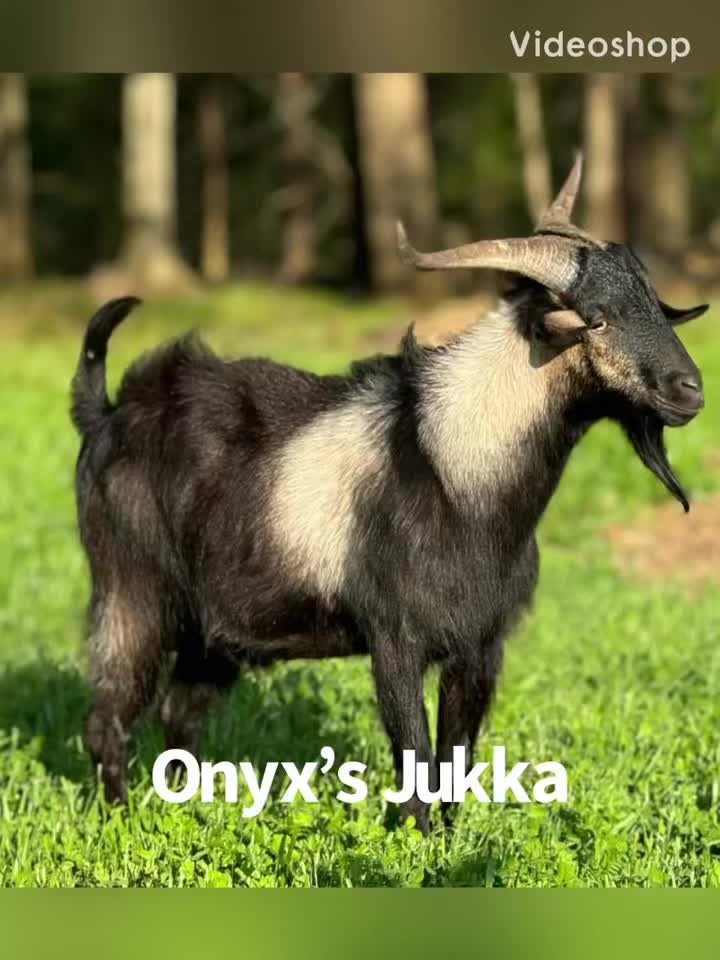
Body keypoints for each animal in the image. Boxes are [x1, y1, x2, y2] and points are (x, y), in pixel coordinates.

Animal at [71, 155, 706, 832]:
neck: (457, 466)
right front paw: (417, 841)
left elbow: (456, 760)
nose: (690, 389)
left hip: (212, 628)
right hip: (132, 590)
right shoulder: (395, 639)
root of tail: (107, 413)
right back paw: (120, 822)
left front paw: (453, 841)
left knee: (180, 717)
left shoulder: (480, 648)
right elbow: (417, 759)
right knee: (109, 719)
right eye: (598, 317)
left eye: (653, 304)